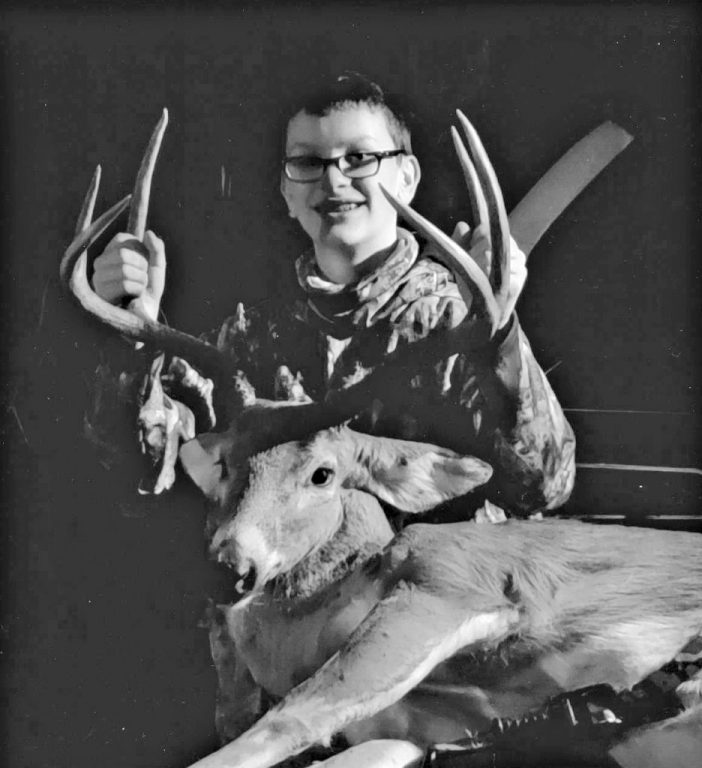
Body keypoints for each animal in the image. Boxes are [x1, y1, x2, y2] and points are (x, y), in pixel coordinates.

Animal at [60, 109, 702, 768]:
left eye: (323, 473)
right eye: (226, 467)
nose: (228, 566)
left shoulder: (450, 584)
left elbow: (282, 723)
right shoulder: (409, 728)